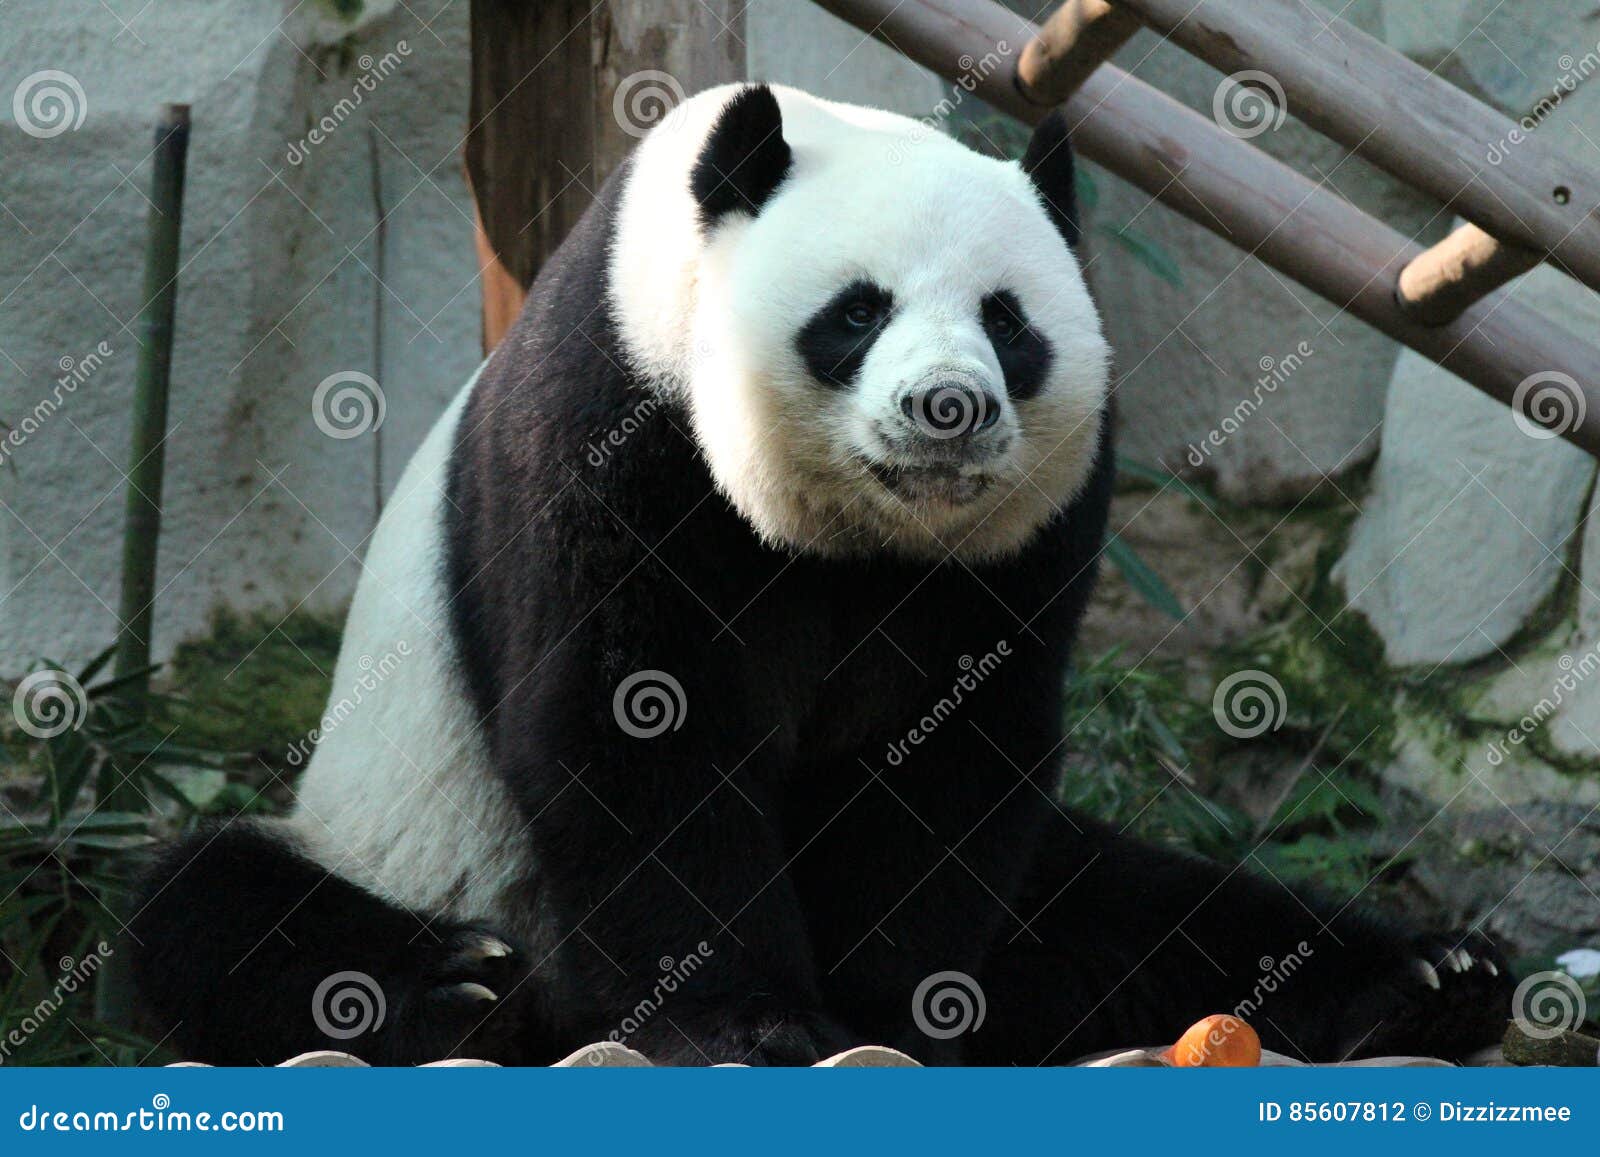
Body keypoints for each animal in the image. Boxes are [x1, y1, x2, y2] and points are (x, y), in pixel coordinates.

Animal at [131, 84, 1510, 1067]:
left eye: (1008, 319)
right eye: (857, 311)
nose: (948, 408)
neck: (855, 537)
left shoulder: (1033, 534)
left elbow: (952, 752)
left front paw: (894, 1006)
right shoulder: (617, 414)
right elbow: (632, 720)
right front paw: (751, 1019)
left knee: (1150, 909)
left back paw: (1427, 980)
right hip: (400, 838)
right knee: (215, 905)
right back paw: (456, 986)